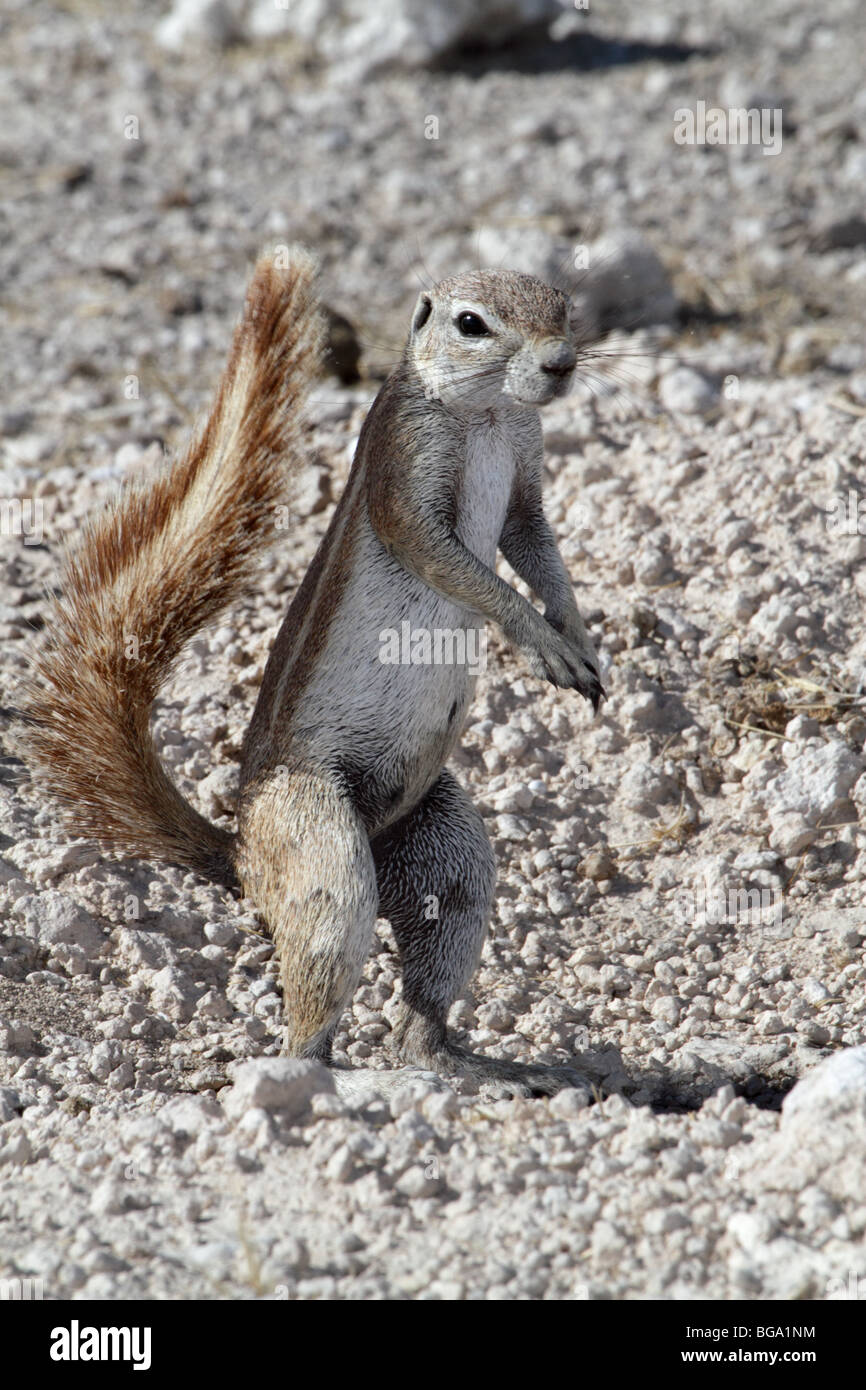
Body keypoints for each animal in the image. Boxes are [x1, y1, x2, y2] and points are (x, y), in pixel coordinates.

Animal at [21, 247, 604, 1100]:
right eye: (472, 324)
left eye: (564, 304)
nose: (560, 363)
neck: (490, 415)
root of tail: (240, 859)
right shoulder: (406, 474)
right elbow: (464, 568)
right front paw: (540, 642)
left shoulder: (527, 478)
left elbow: (538, 551)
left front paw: (579, 638)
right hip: (322, 850)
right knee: (314, 1015)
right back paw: (325, 1079)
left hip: (450, 851)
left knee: (420, 1012)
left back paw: (477, 1066)